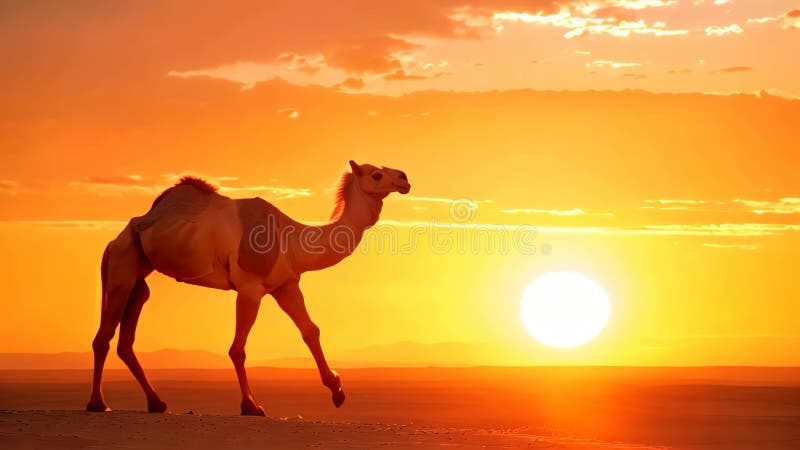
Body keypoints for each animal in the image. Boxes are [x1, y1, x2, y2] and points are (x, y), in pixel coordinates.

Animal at [85, 161, 410, 415]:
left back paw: (156, 403)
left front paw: (337, 391)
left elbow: (310, 330)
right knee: (103, 337)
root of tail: (118, 236)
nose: (404, 177)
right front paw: (251, 406)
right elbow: (238, 349)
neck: (291, 238)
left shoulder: (285, 285)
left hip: (138, 276)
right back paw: (97, 403)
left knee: (127, 337)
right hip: (123, 263)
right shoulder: (250, 288)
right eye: (376, 174)